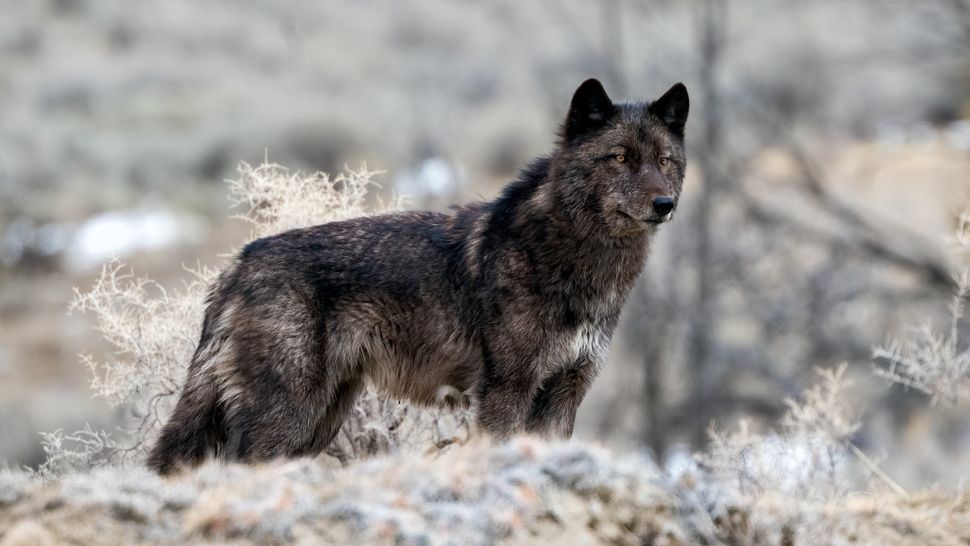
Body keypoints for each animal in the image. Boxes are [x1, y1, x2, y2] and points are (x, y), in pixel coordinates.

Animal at [147, 78, 689, 474]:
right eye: (620, 157)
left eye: (665, 160)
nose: (665, 204)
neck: (577, 260)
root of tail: (239, 262)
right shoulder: (506, 393)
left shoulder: (564, 394)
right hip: (288, 416)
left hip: (319, 421)